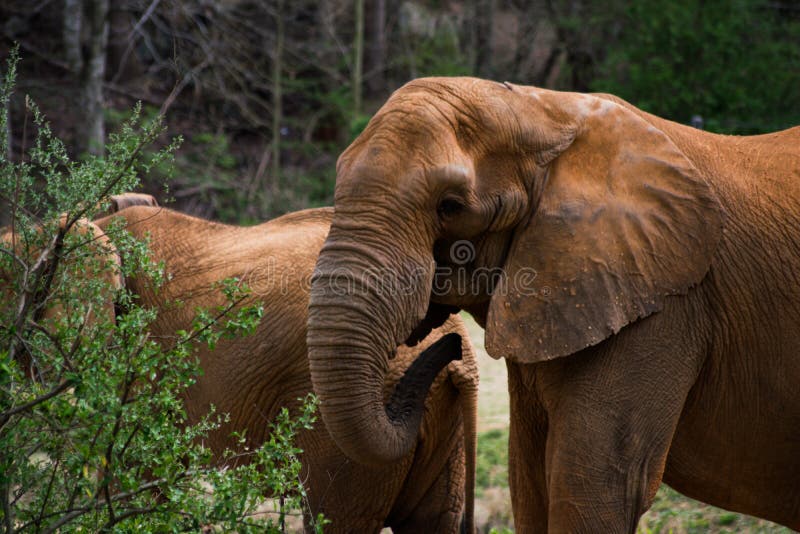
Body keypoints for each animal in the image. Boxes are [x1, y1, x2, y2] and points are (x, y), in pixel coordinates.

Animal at [306, 76, 800, 532]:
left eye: (450, 206)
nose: (450, 346)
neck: (541, 112)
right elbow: (528, 483)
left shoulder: (663, 305)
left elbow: (595, 486)